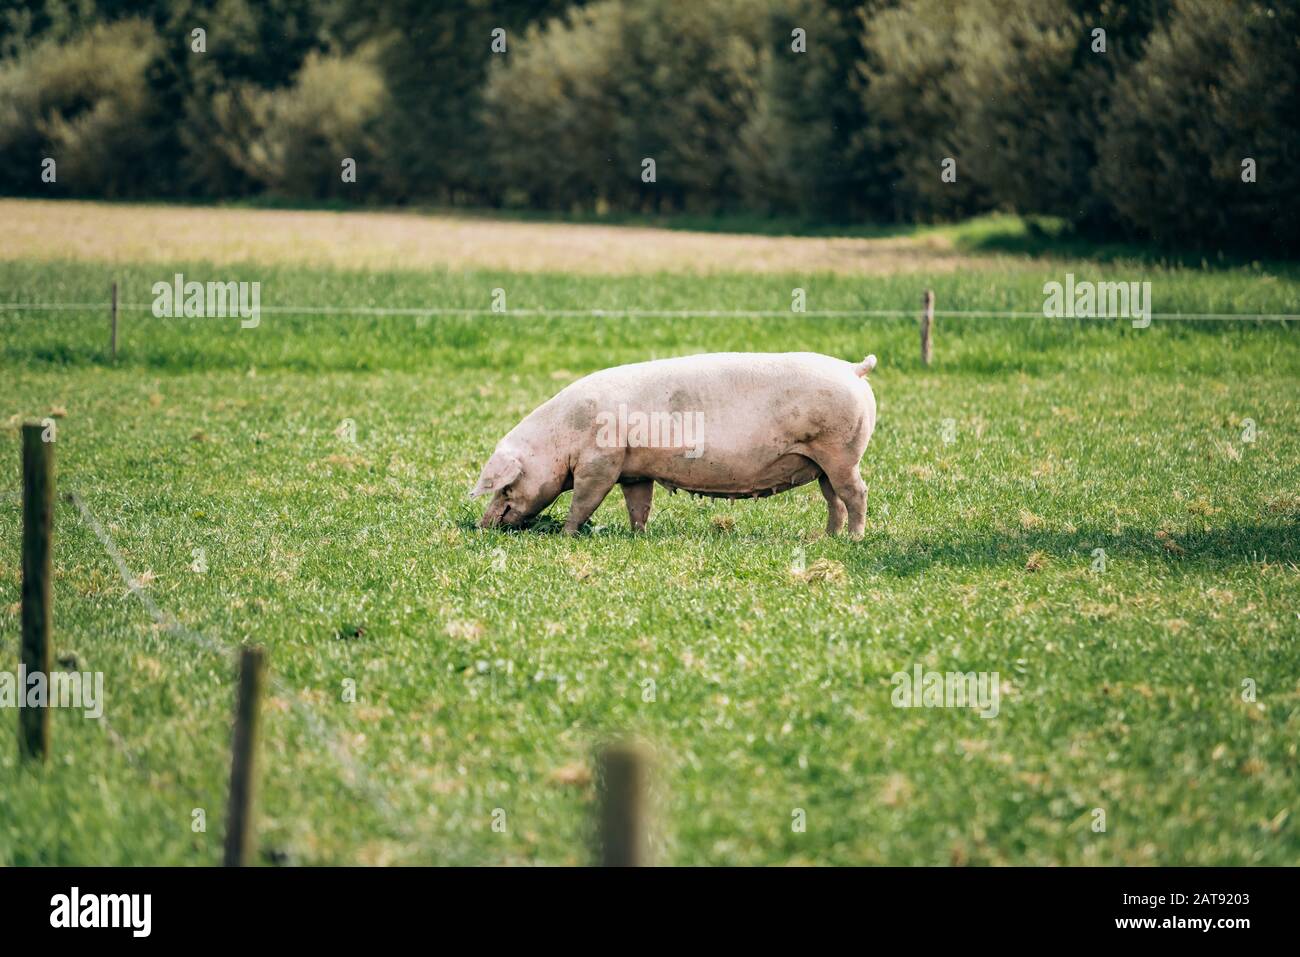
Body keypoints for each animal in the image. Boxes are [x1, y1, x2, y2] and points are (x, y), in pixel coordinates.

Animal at [471, 351, 878, 537]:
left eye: (505, 486)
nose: (481, 525)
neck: (562, 436)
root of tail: (852, 368)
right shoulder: (634, 471)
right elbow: (639, 504)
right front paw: (638, 536)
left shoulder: (600, 462)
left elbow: (584, 501)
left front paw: (566, 534)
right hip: (822, 462)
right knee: (833, 498)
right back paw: (827, 538)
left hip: (840, 452)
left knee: (856, 493)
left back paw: (854, 539)